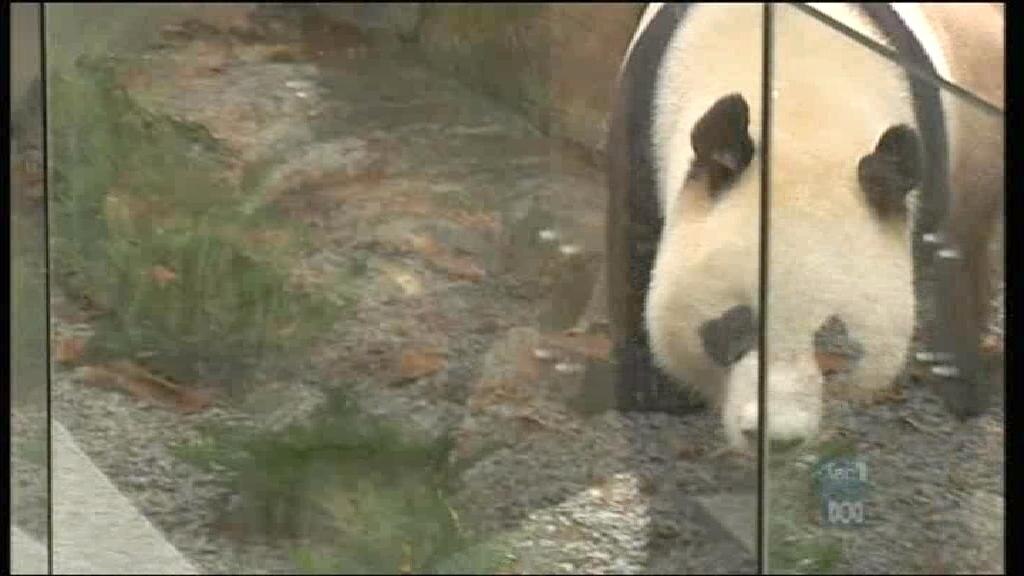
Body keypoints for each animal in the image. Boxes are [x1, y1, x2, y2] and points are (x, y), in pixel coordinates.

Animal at [605, 3, 1004, 453]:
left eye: (832, 342)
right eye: (736, 327)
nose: (774, 437)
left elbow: (941, 268)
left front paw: (959, 381)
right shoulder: (643, 120)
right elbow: (635, 241)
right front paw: (651, 390)